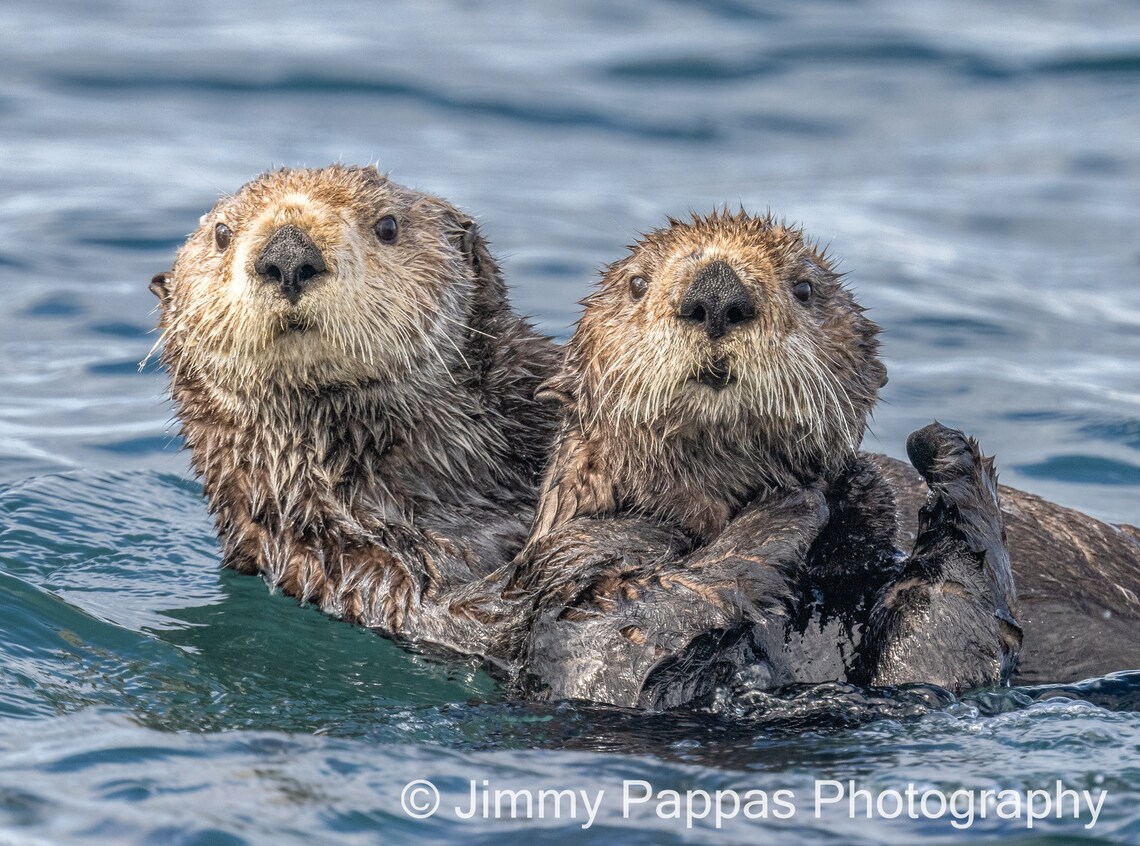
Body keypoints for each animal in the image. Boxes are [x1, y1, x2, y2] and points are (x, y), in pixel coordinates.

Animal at [514, 211, 1022, 707]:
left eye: (805, 288)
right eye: (637, 283)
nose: (717, 293)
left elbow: (937, 657)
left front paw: (942, 453)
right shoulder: (569, 566)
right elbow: (619, 637)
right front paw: (792, 503)